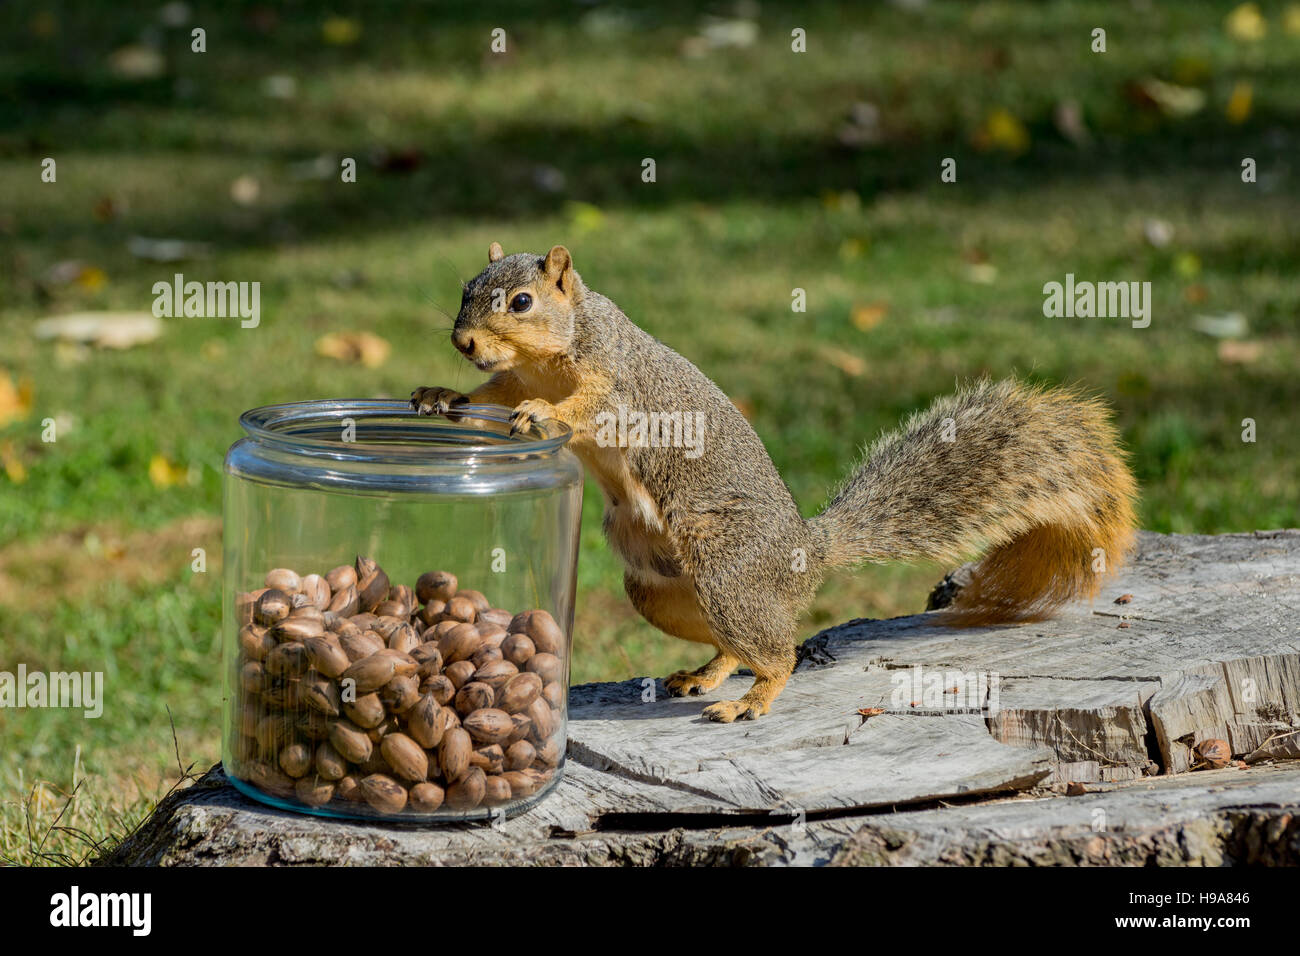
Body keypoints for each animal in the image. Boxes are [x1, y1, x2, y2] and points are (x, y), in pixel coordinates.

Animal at [412, 243, 1138, 722]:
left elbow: (586, 409)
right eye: (465, 287)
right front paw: (440, 395)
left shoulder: (619, 387)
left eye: (522, 301)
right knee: (736, 644)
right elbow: (489, 397)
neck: (549, 356)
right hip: (664, 592)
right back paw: (707, 676)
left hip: (726, 568)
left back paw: (751, 702)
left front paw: (544, 414)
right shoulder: (510, 379)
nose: (463, 341)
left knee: (779, 653)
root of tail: (806, 555)